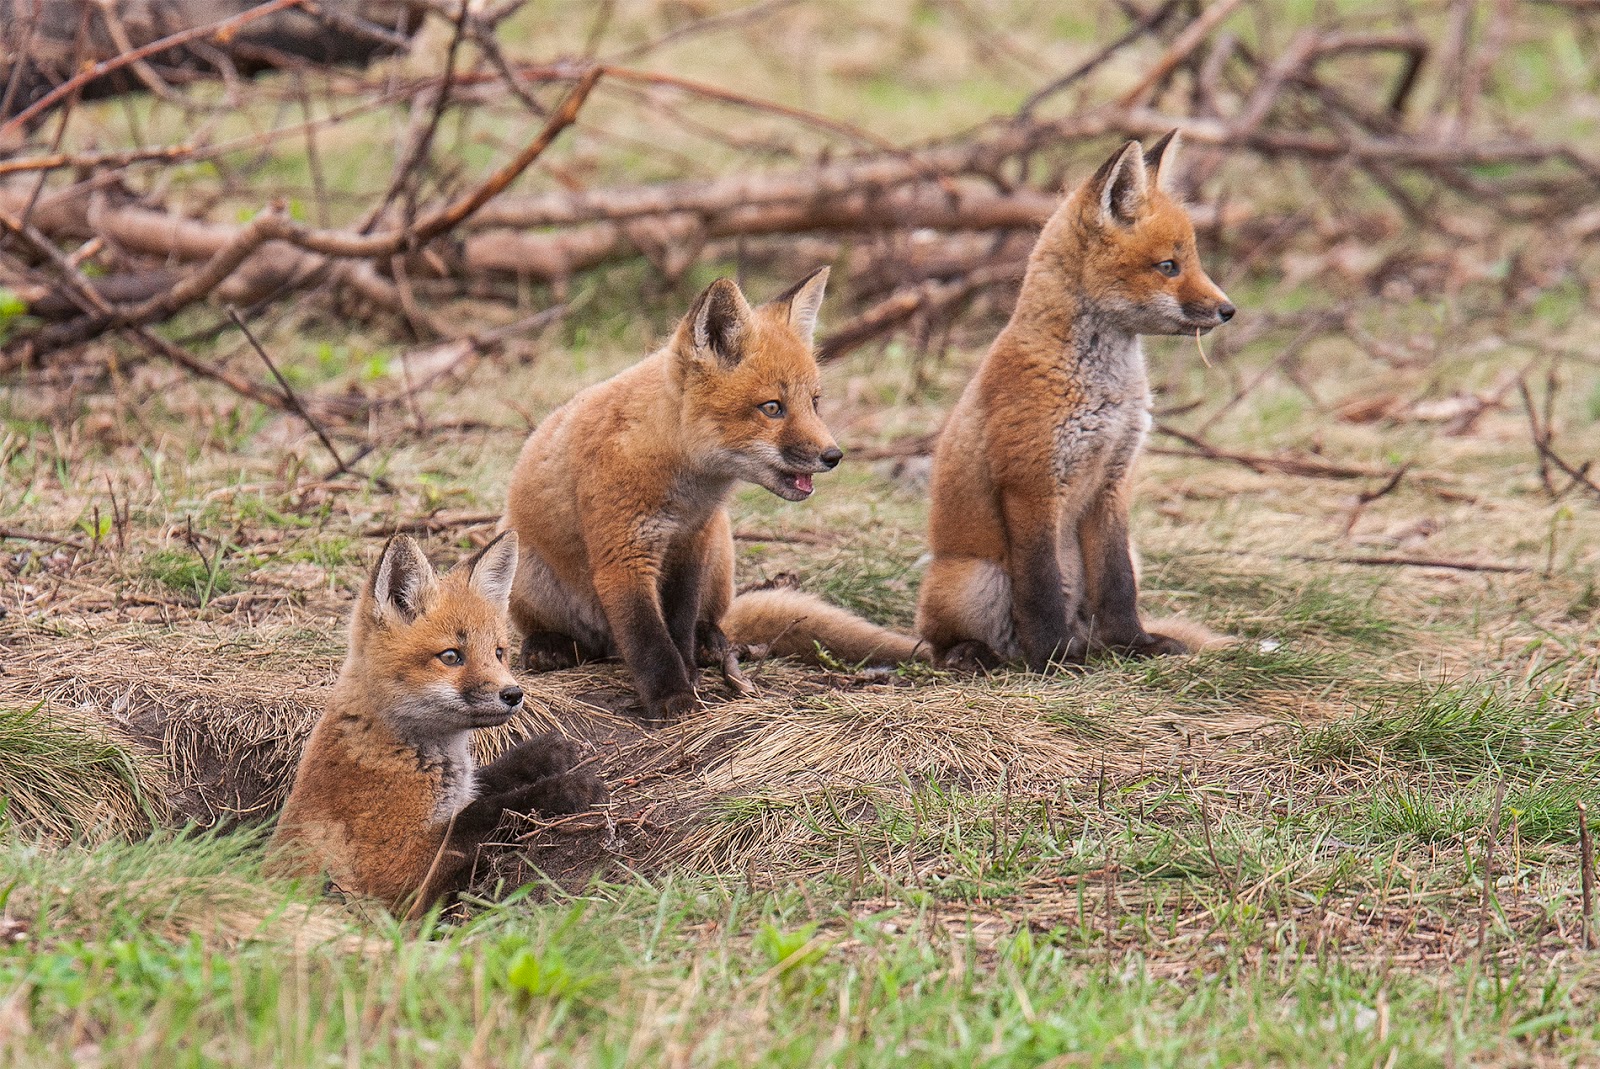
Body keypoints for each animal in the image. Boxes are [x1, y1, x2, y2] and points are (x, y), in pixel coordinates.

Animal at [269, 532, 606, 915]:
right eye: (450, 657)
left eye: (499, 653)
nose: (513, 694)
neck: (398, 750)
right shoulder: (395, 871)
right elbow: (484, 812)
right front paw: (563, 789)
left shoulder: (460, 791)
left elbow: (487, 782)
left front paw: (545, 754)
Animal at [915, 131, 1234, 671]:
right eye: (1167, 267)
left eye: (1191, 261)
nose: (1228, 309)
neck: (1106, 390)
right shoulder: (1032, 483)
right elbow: (1041, 588)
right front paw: (1052, 657)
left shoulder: (1113, 482)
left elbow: (1118, 584)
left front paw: (1135, 644)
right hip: (976, 579)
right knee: (939, 640)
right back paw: (981, 653)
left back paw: (1093, 646)